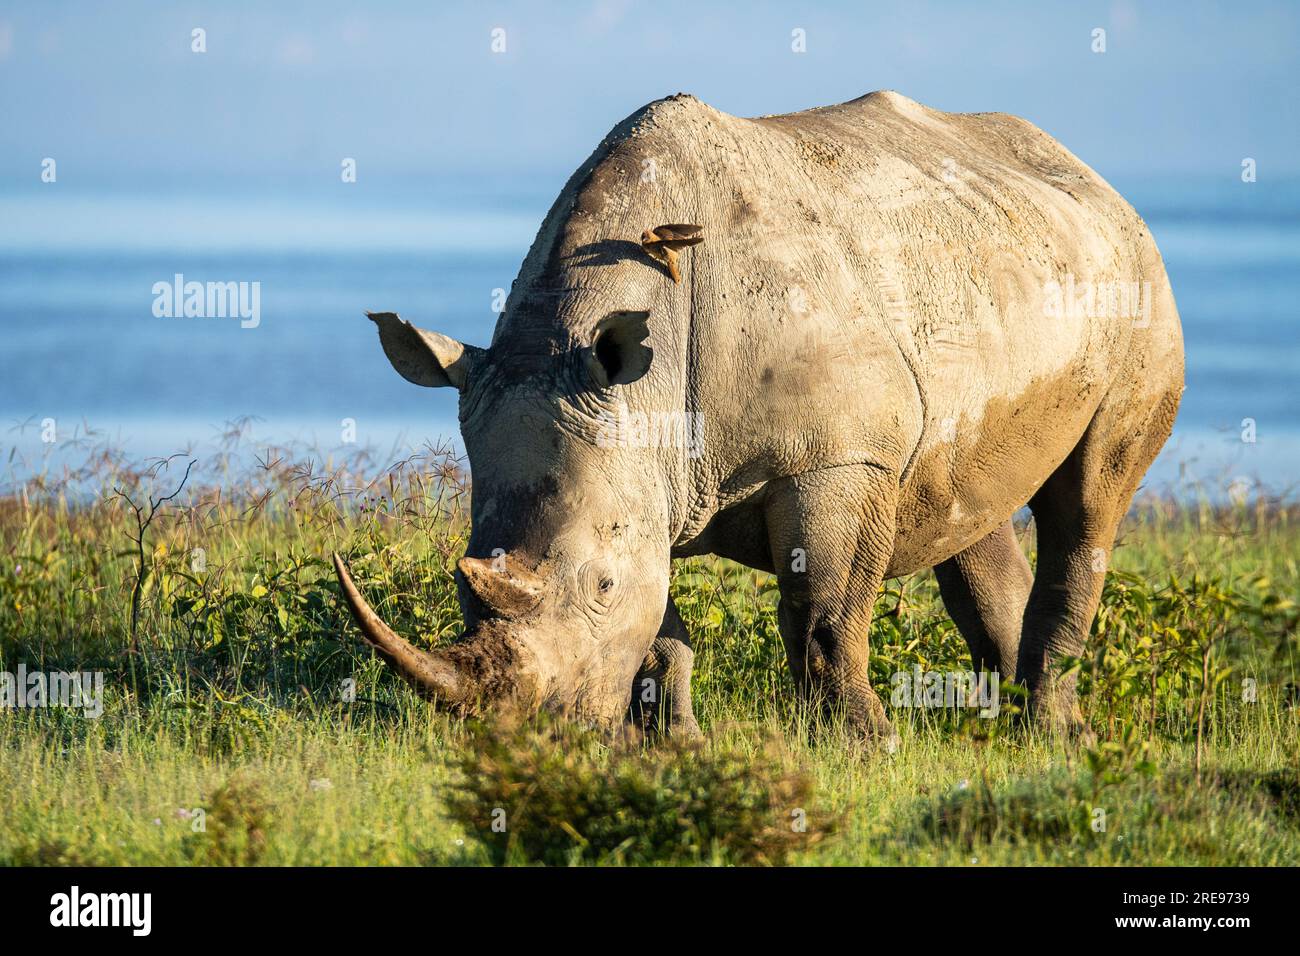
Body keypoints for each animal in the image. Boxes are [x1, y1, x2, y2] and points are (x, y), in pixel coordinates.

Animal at [334, 90, 1183, 741]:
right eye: (463, 583)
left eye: (600, 586)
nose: (536, 739)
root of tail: (1093, 178)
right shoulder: (646, 472)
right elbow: (662, 631)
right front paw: (675, 746)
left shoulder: (836, 456)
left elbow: (823, 612)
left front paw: (863, 744)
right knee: (970, 506)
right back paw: (1006, 726)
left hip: (1140, 287)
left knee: (1089, 500)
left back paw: (1052, 736)